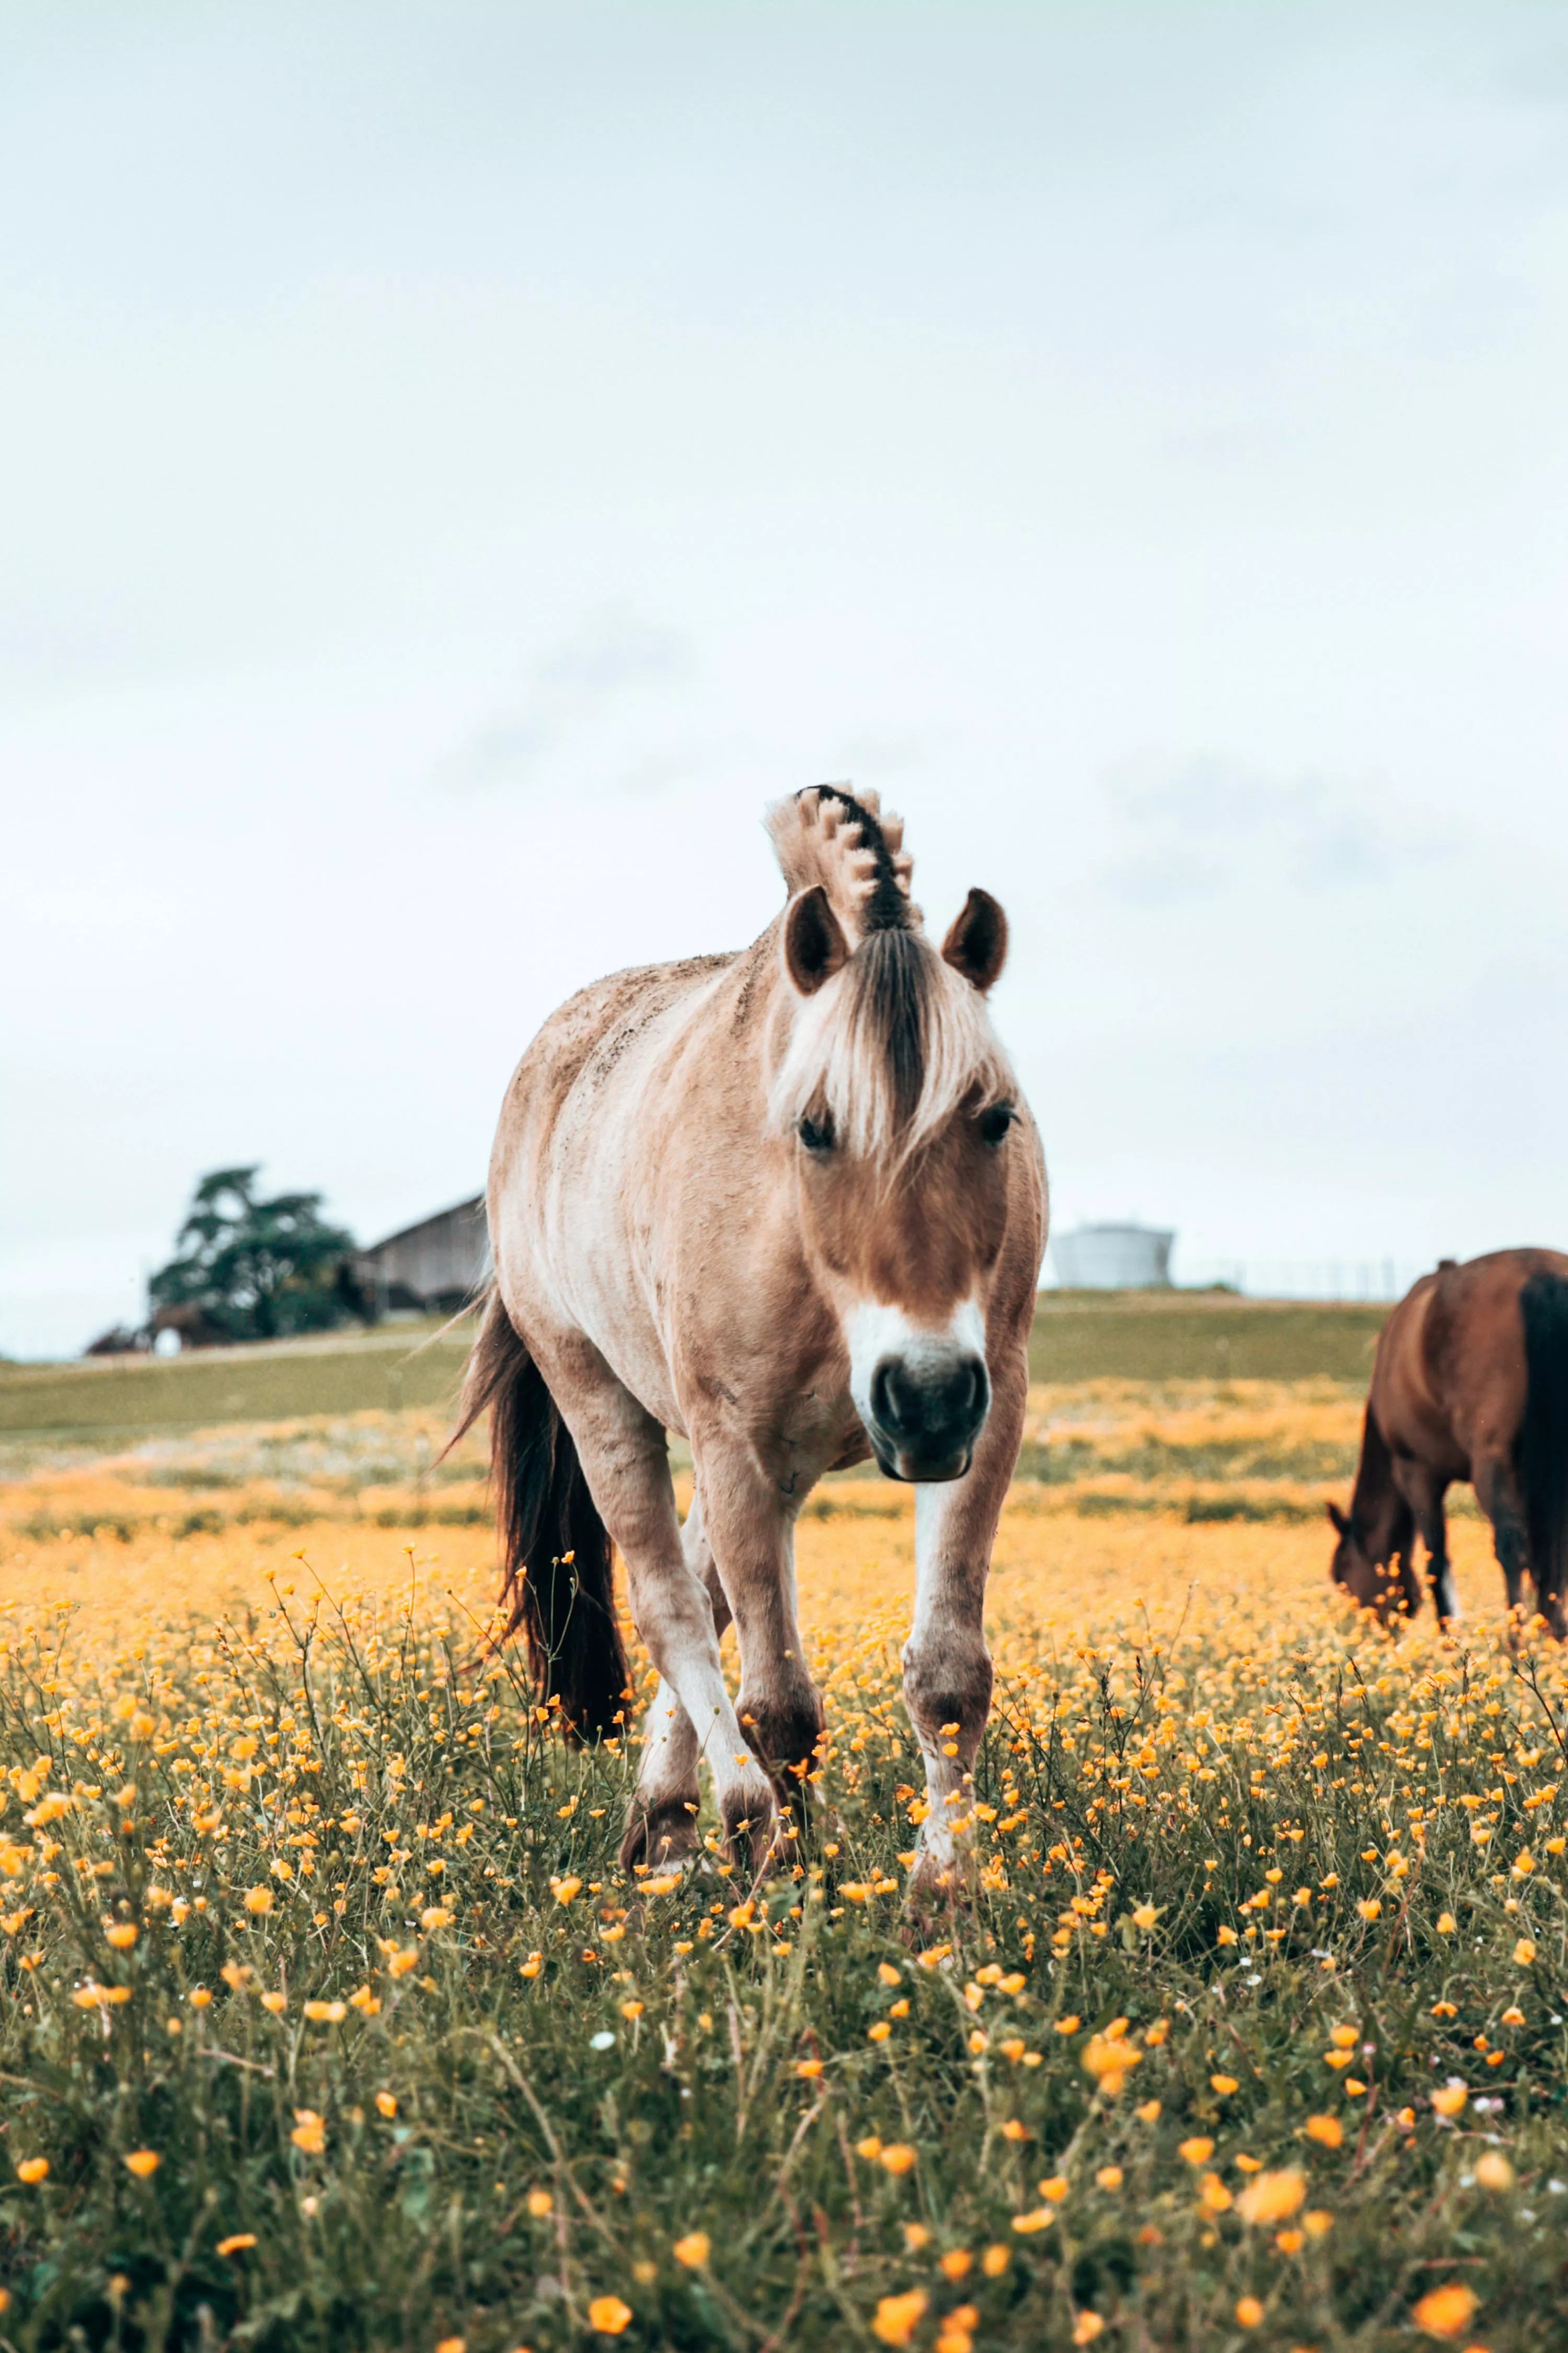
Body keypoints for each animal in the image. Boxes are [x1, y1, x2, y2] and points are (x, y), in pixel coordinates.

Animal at [451, 786, 1045, 1898]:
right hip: (606, 1404)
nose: (924, 1395)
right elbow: (779, 1703)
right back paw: (726, 1826)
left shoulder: (985, 1422)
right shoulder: (735, 1443)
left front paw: (941, 1895)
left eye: (993, 1118)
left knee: (702, 1586)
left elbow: (948, 1676)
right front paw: (798, 1882)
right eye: (813, 1127)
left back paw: (668, 1819)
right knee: (672, 1605)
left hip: (786, 1465)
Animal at [1328, 1248, 1568, 1636]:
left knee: (1511, 1546)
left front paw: (1450, 1635)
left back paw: (1517, 1642)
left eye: (1342, 1577)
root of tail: (1543, 1276)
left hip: (1490, 1463)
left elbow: (1437, 1564)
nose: (1371, 1632)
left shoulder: (1417, 1472)